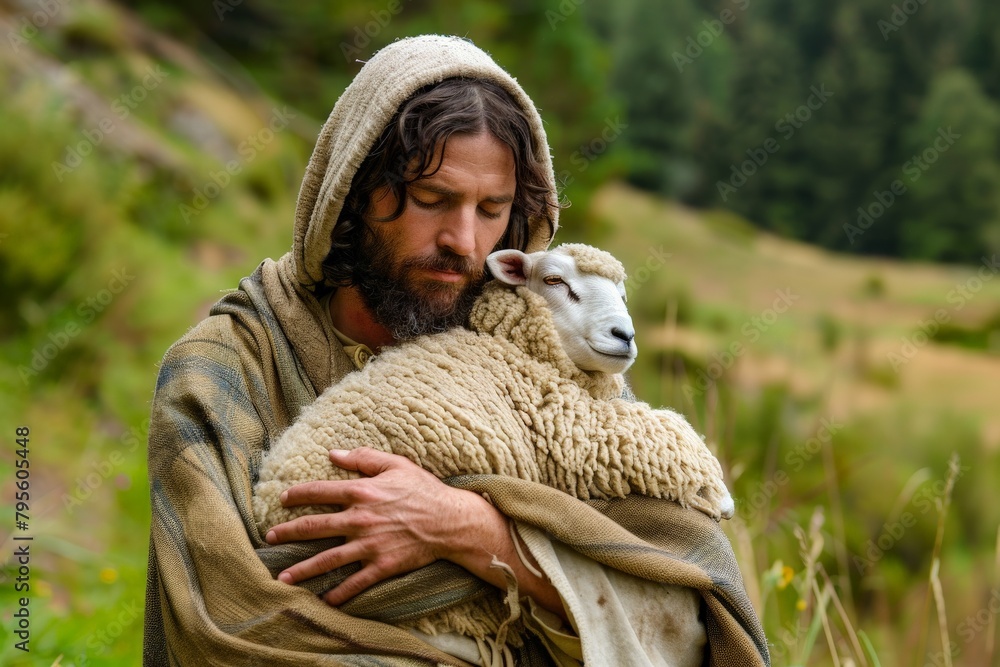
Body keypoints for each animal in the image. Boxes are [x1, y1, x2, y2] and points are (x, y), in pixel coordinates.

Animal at [253, 243, 734, 538]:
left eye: (622, 292)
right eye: (555, 281)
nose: (625, 335)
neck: (514, 348)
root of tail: (268, 508)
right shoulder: (573, 430)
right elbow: (662, 429)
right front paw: (720, 496)